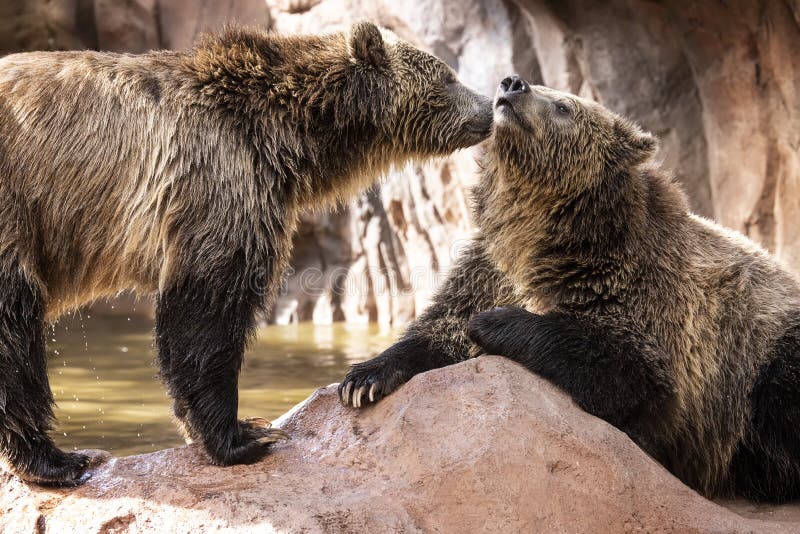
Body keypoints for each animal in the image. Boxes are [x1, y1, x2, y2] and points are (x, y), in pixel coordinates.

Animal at [0, 21, 493, 486]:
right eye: (447, 76)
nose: (489, 107)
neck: (292, 136)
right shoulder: (221, 177)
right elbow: (208, 308)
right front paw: (244, 434)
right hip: (17, 211)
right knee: (15, 329)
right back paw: (56, 459)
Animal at [340, 75, 800, 502]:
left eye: (564, 105)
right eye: (541, 88)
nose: (513, 83)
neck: (543, 234)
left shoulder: (642, 295)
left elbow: (627, 370)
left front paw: (496, 323)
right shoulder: (488, 268)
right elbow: (440, 325)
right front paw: (363, 379)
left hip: (765, 354)